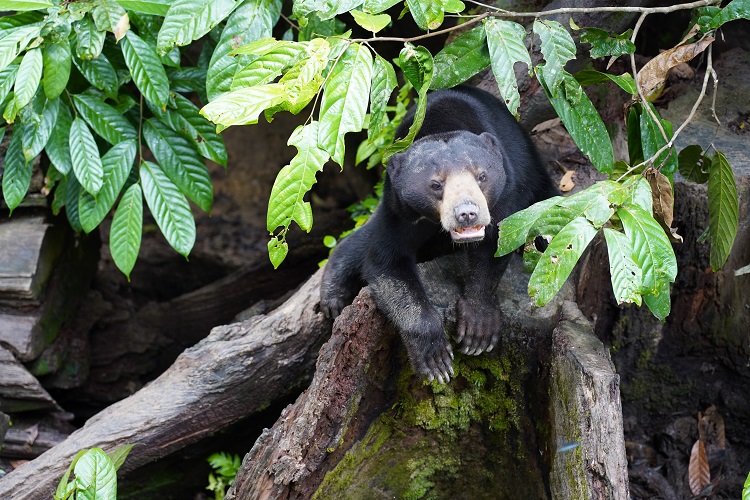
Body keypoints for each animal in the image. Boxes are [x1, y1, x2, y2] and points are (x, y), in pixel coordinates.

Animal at [319, 85, 558, 383]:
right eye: (436, 184)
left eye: (481, 176)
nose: (467, 213)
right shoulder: (400, 210)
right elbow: (387, 263)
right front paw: (436, 361)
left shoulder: (507, 193)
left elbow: (495, 245)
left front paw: (478, 331)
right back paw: (333, 296)